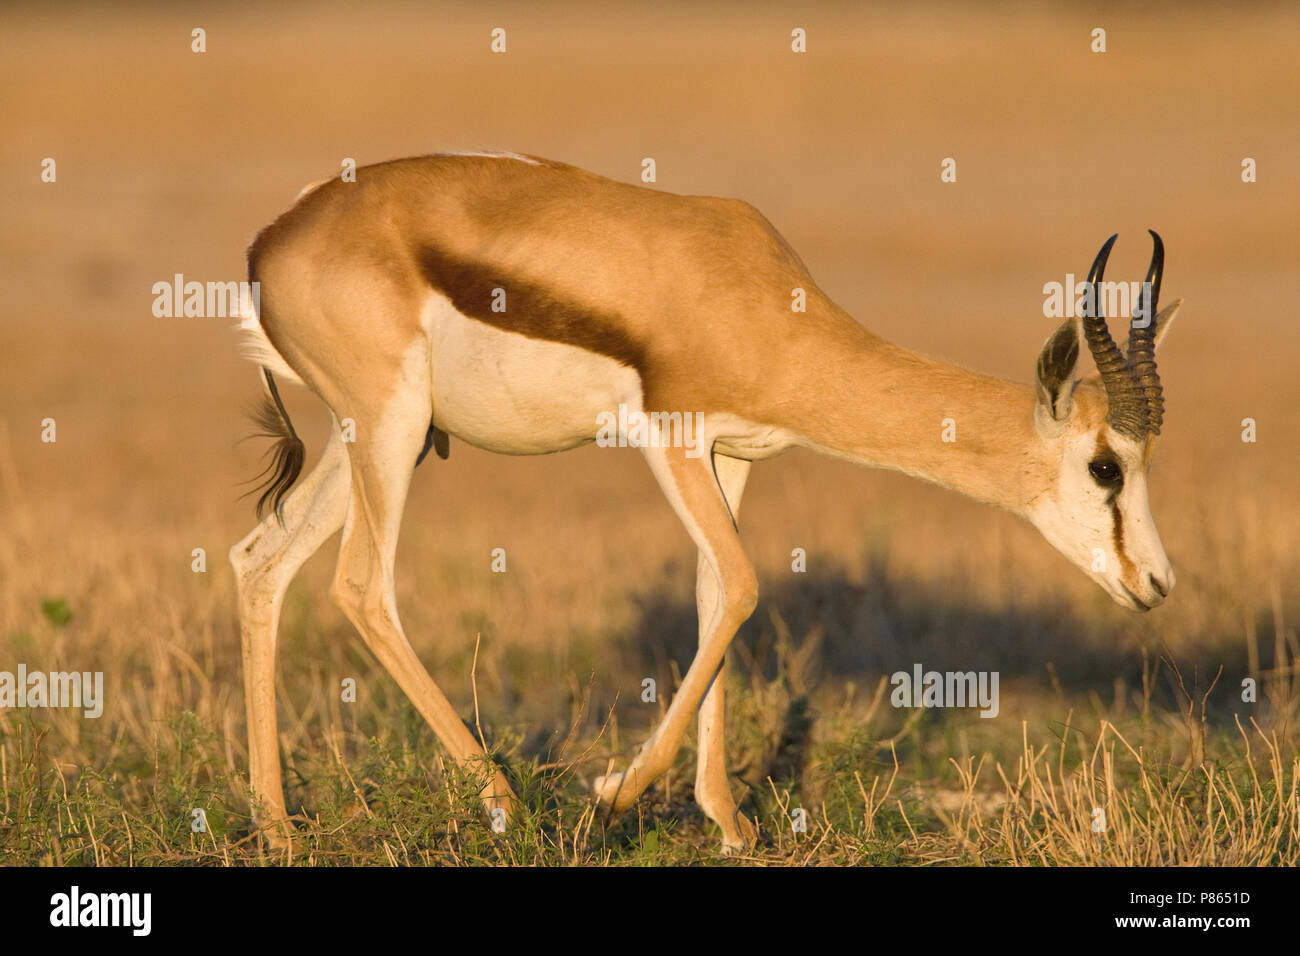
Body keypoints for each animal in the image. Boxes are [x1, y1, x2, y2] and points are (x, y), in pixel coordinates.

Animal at [229, 151, 1180, 851]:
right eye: (1105, 467)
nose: (1157, 584)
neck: (763, 308)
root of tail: (272, 240)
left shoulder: (732, 457)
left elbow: (714, 594)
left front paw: (727, 823)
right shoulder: (673, 439)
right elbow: (746, 586)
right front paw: (615, 796)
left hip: (378, 437)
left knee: (258, 561)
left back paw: (279, 831)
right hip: (390, 429)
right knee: (361, 586)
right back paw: (506, 807)